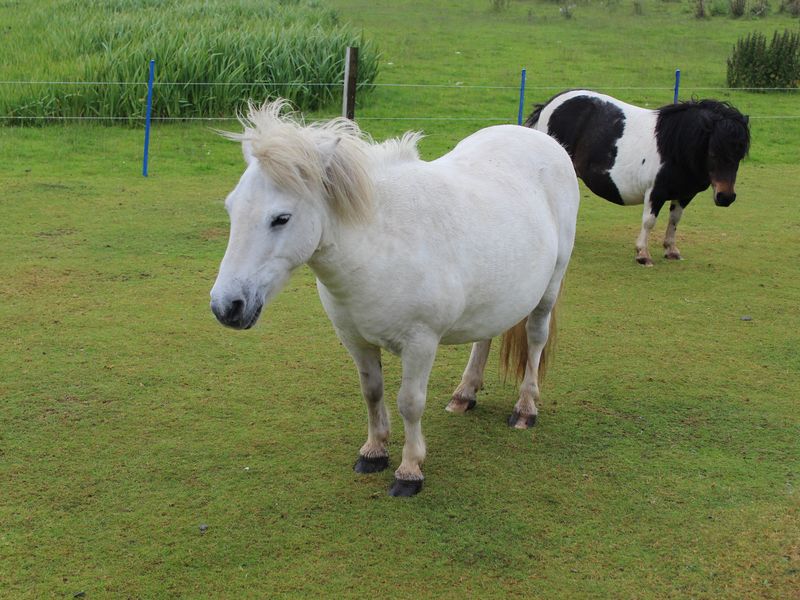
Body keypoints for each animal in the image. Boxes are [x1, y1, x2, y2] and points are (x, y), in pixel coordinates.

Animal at [209, 100, 579, 497]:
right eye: (231, 209)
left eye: (281, 218)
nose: (226, 306)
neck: (380, 244)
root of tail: (543, 140)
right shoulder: (355, 340)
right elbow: (372, 392)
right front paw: (373, 452)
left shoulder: (420, 343)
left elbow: (410, 403)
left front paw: (409, 470)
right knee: (484, 338)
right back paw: (465, 394)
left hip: (549, 289)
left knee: (536, 338)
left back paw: (525, 408)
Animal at [524, 90, 750, 266]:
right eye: (713, 152)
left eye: (740, 154)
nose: (726, 197)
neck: (674, 147)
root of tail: (550, 105)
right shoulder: (655, 192)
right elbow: (649, 221)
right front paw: (642, 254)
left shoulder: (685, 194)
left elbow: (675, 220)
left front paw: (671, 250)